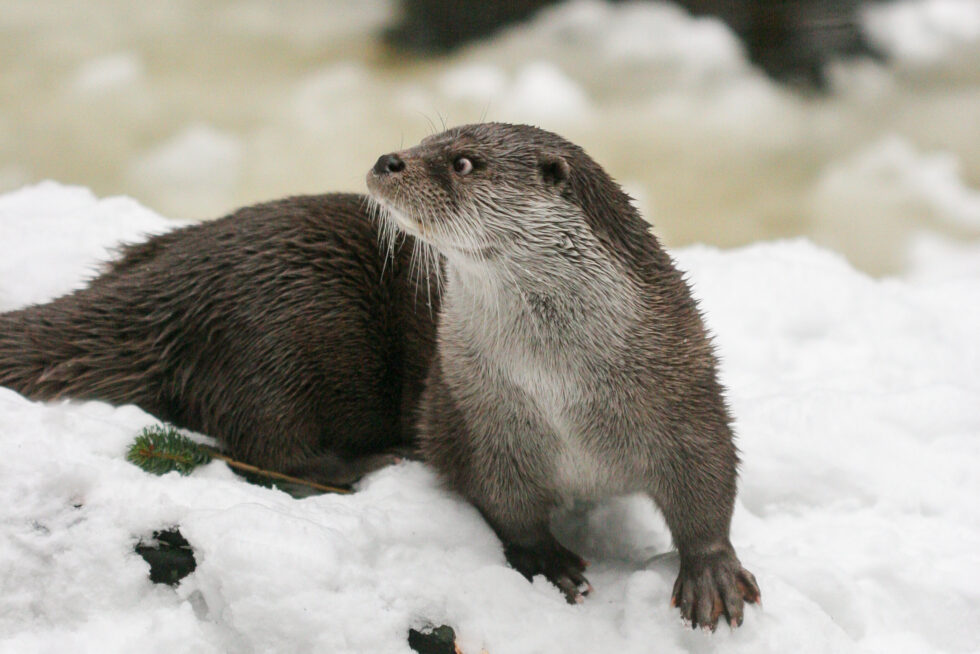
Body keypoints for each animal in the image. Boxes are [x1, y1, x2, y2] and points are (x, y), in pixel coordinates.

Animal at [367, 123, 760, 629]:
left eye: (463, 163)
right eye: (423, 141)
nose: (387, 160)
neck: (558, 386)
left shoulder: (685, 387)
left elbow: (708, 482)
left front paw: (711, 573)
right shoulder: (482, 419)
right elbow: (507, 505)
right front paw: (548, 562)